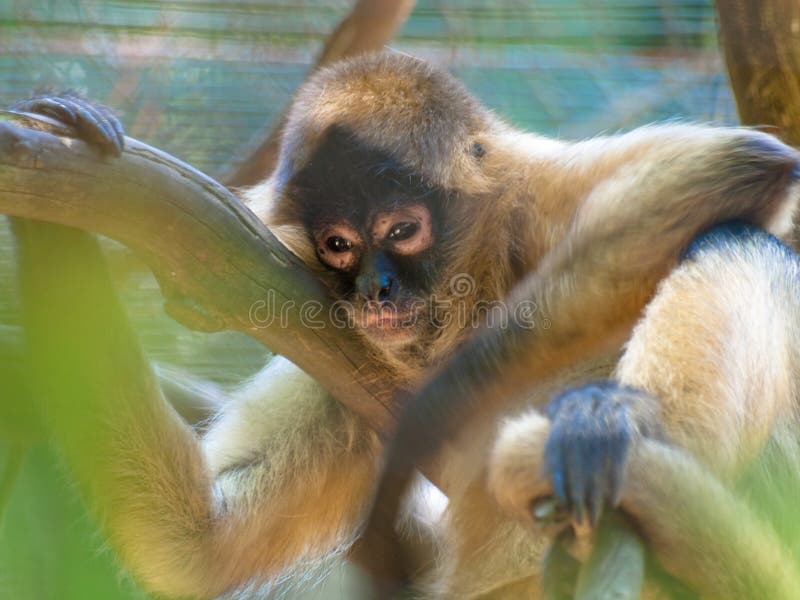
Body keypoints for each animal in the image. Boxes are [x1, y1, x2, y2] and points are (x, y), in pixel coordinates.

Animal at [9, 51, 800, 599]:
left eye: (402, 229)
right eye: (338, 244)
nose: (375, 290)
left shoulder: (533, 197)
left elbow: (742, 163)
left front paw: (435, 412)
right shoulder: (344, 369)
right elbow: (195, 545)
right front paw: (45, 209)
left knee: (746, 241)